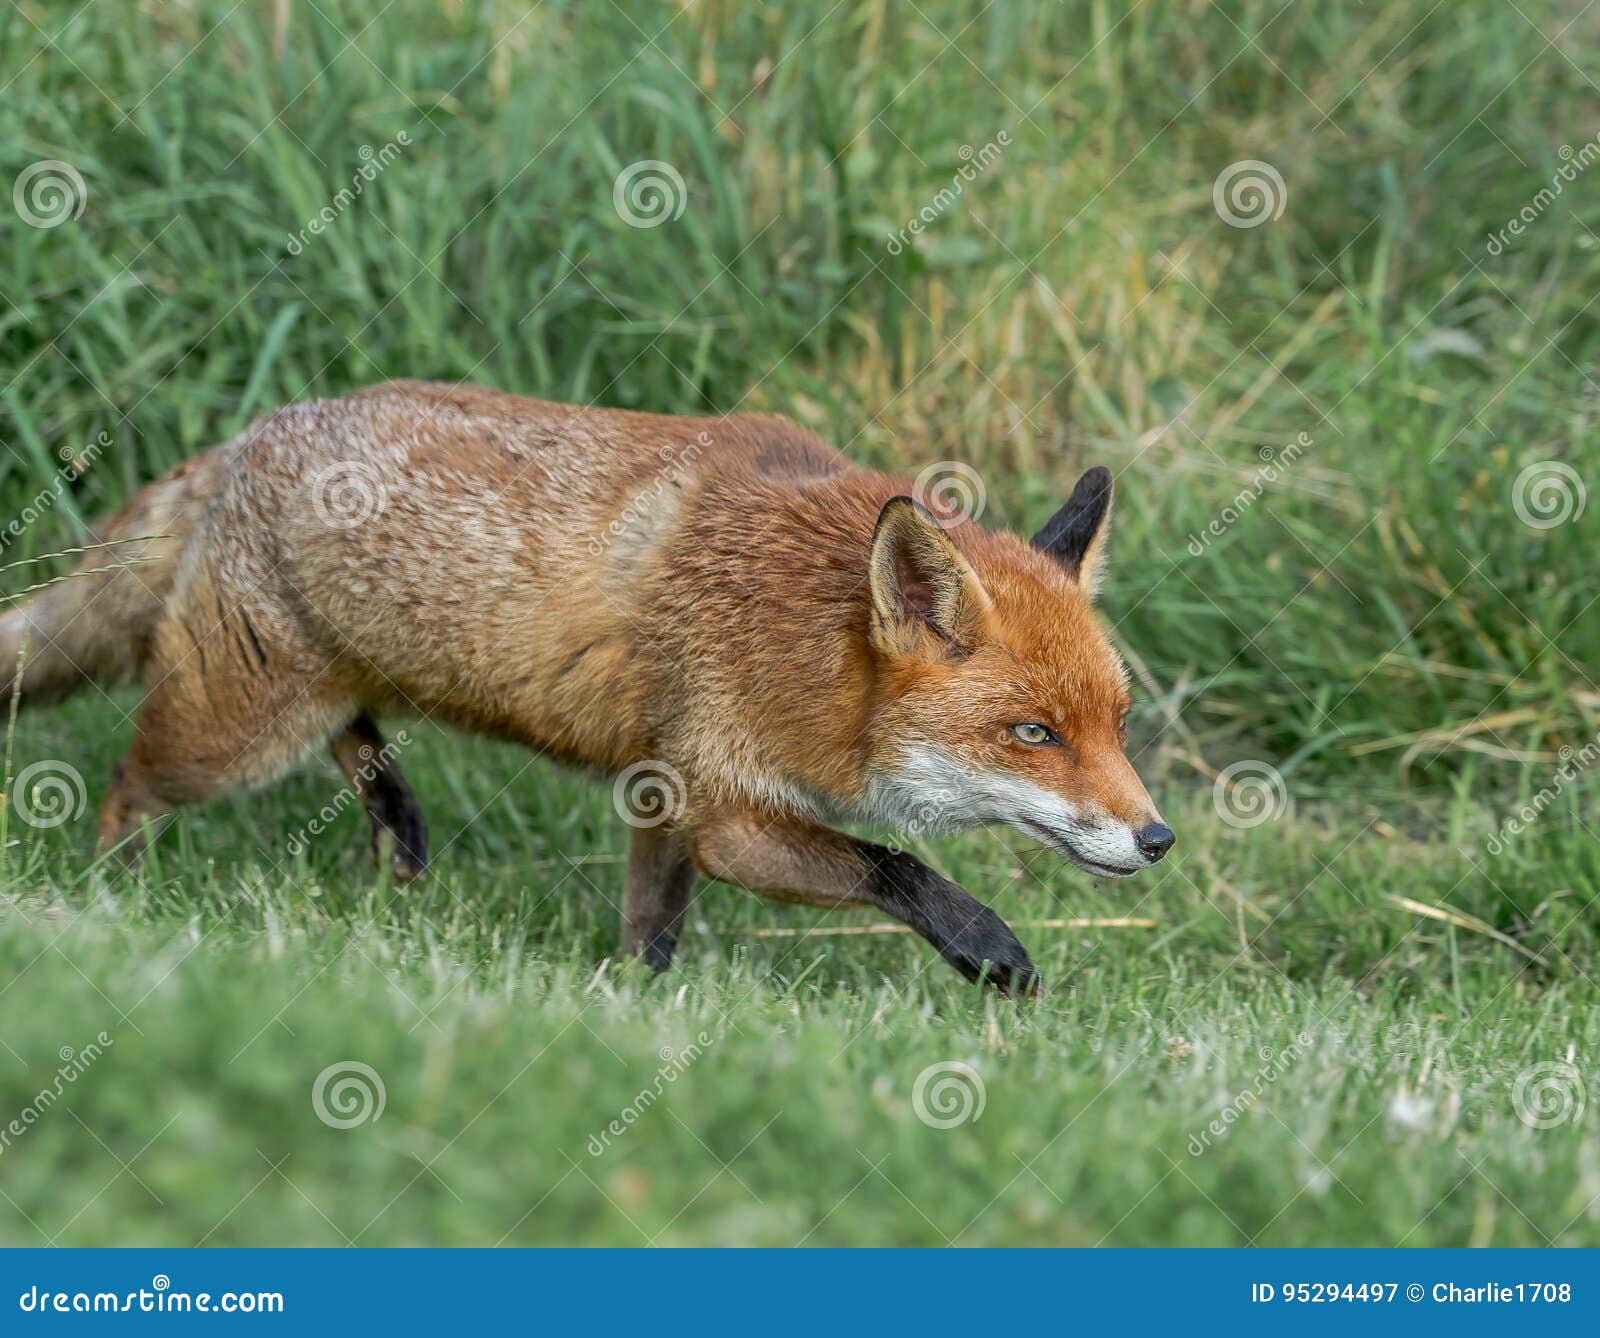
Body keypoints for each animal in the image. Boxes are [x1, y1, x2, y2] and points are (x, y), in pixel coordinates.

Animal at [0, 380, 1173, 992]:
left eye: (1117, 725)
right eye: (1033, 733)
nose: (1157, 839)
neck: (798, 626)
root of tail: (252, 432)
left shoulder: (669, 792)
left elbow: (650, 925)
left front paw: (634, 1008)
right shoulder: (725, 810)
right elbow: (889, 863)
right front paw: (986, 946)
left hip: (317, 686)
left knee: (352, 733)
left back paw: (395, 818)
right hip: (235, 727)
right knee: (129, 779)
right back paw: (119, 898)